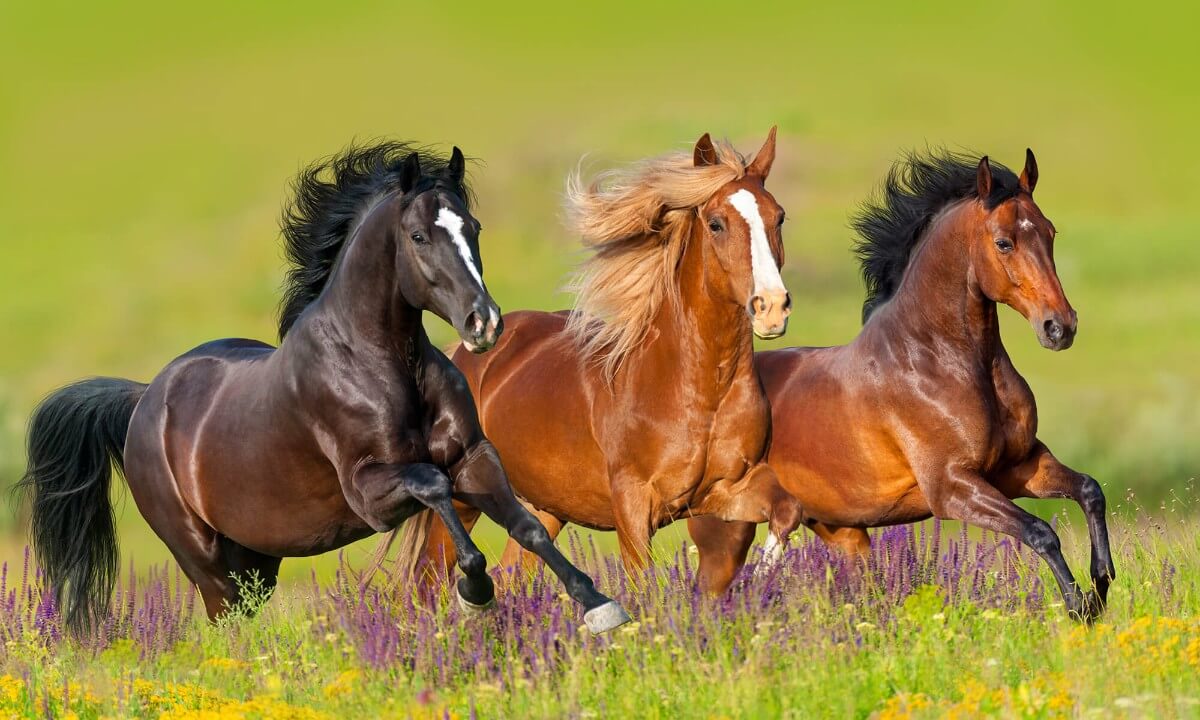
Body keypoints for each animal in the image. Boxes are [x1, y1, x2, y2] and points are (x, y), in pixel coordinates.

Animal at [18, 141, 630, 636]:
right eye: (418, 235)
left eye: (473, 228)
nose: (485, 324)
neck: (383, 366)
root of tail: (144, 400)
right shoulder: (371, 492)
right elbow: (434, 486)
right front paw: (475, 593)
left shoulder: (474, 458)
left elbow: (528, 527)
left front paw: (600, 606)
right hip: (205, 561)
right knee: (226, 626)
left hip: (256, 561)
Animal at [398, 130, 805, 591]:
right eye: (717, 223)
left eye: (779, 217)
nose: (771, 307)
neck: (699, 391)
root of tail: (462, 355)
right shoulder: (633, 505)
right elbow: (642, 584)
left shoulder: (727, 489)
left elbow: (786, 511)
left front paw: (753, 584)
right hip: (465, 495)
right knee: (429, 578)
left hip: (543, 507)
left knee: (511, 574)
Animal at [687, 150, 1115, 619]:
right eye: (1004, 242)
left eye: (1050, 232)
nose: (1060, 327)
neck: (938, 361)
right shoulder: (952, 488)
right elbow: (1041, 531)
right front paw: (1080, 607)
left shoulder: (1019, 466)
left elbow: (1090, 490)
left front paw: (1102, 583)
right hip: (726, 531)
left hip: (842, 531)